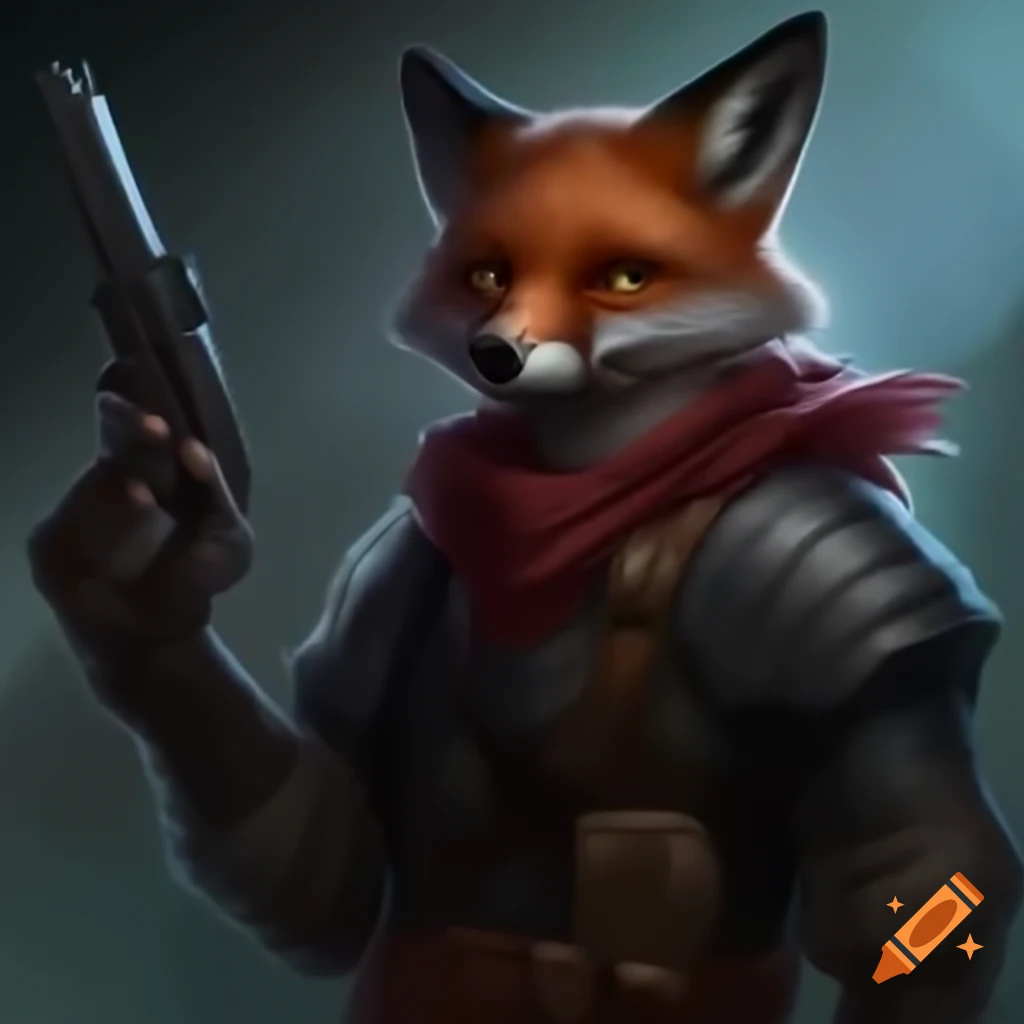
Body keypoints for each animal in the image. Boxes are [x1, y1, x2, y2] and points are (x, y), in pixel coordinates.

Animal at [25, 10, 1022, 1024]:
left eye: (625, 277)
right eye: (487, 274)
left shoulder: (823, 560)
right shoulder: (389, 567)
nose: (496, 354)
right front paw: (129, 583)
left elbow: (917, 875)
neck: (582, 495)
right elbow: (321, 868)